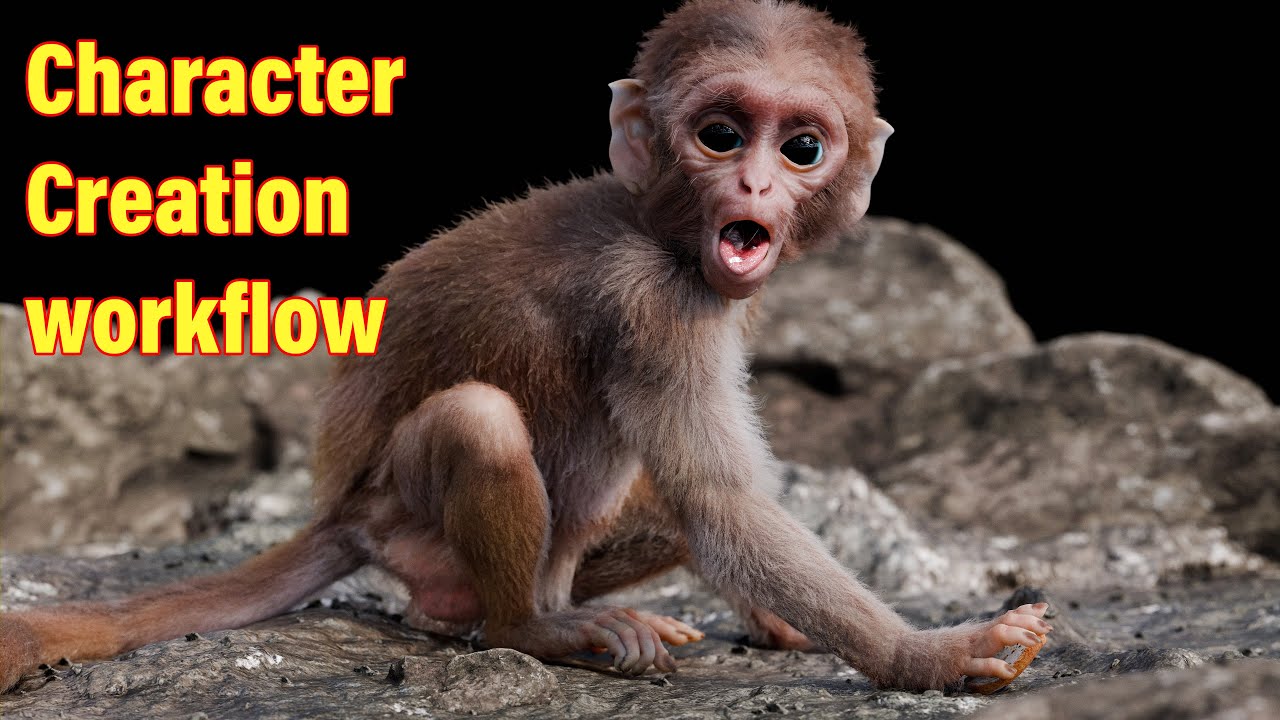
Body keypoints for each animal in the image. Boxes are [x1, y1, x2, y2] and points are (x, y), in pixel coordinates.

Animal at [1, 0, 1052, 693]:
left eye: (802, 149)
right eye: (720, 135)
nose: (753, 189)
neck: (658, 224)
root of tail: (339, 515)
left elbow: (710, 508)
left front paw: (781, 621)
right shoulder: (655, 301)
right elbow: (721, 503)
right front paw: (926, 653)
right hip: (404, 524)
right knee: (483, 422)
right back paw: (532, 628)